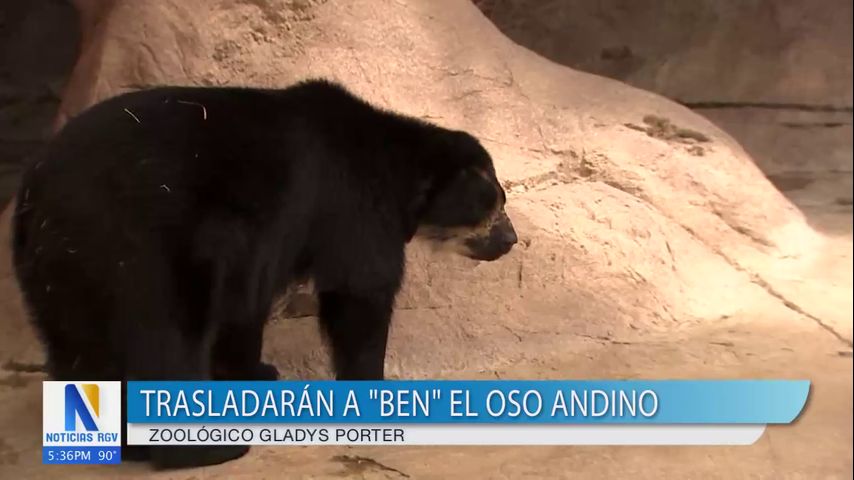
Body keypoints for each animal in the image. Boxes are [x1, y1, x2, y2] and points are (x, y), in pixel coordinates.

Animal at [12, 79, 517, 469]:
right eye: (494, 203)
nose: (511, 240)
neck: (398, 171)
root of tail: (35, 195)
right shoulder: (350, 205)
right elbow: (361, 293)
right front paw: (375, 390)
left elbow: (247, 303)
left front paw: (256, 370)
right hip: (143, 245)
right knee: (167, 335)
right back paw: (206, 449)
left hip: (63, 269)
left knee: (79, 342)